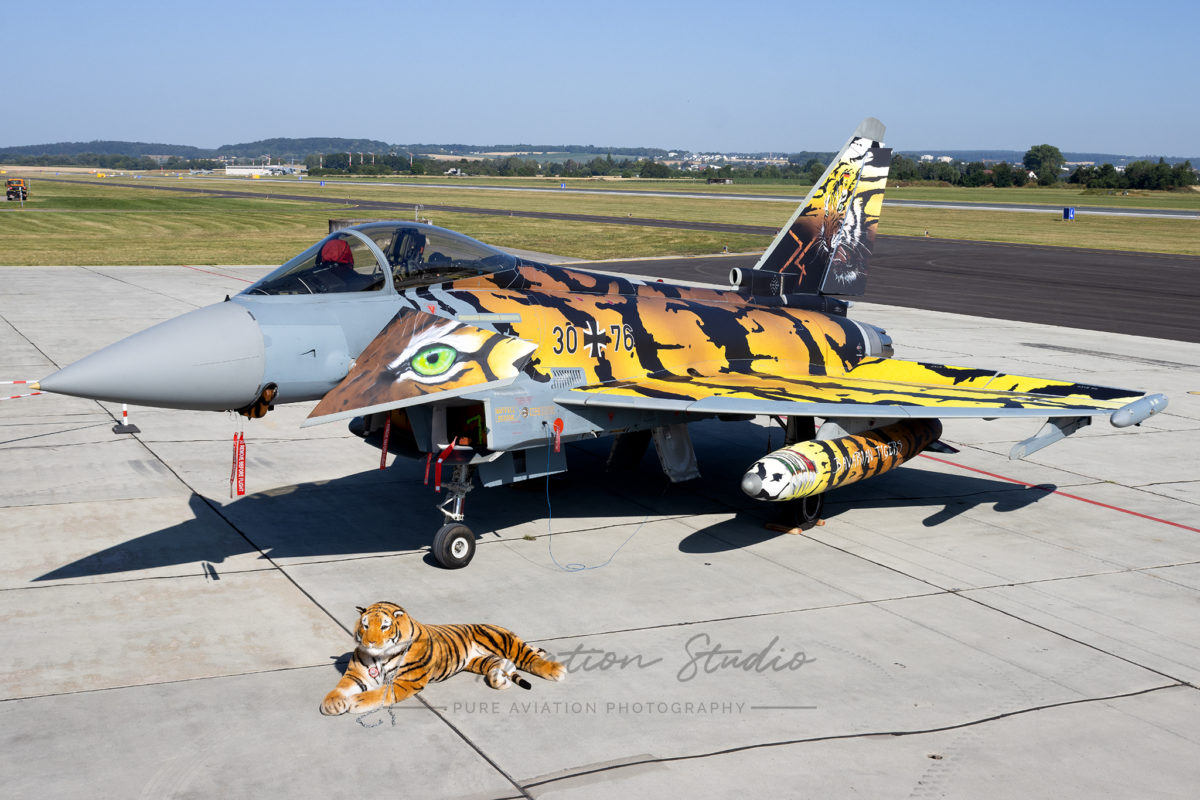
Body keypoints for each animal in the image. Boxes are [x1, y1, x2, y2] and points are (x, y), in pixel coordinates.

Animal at [321, 601, 566, 716]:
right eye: (365, 626)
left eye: (384, 627)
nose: (370, 642)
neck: (379, 657)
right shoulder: (356, 674)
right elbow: (340, 688)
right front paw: (333, 703)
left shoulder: (403, 683)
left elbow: (377, 694)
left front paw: (356, 702)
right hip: (482, 661)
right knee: (508, 666)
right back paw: (500, 680)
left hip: (504, 641)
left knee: (529, 658)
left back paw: (555, 669)